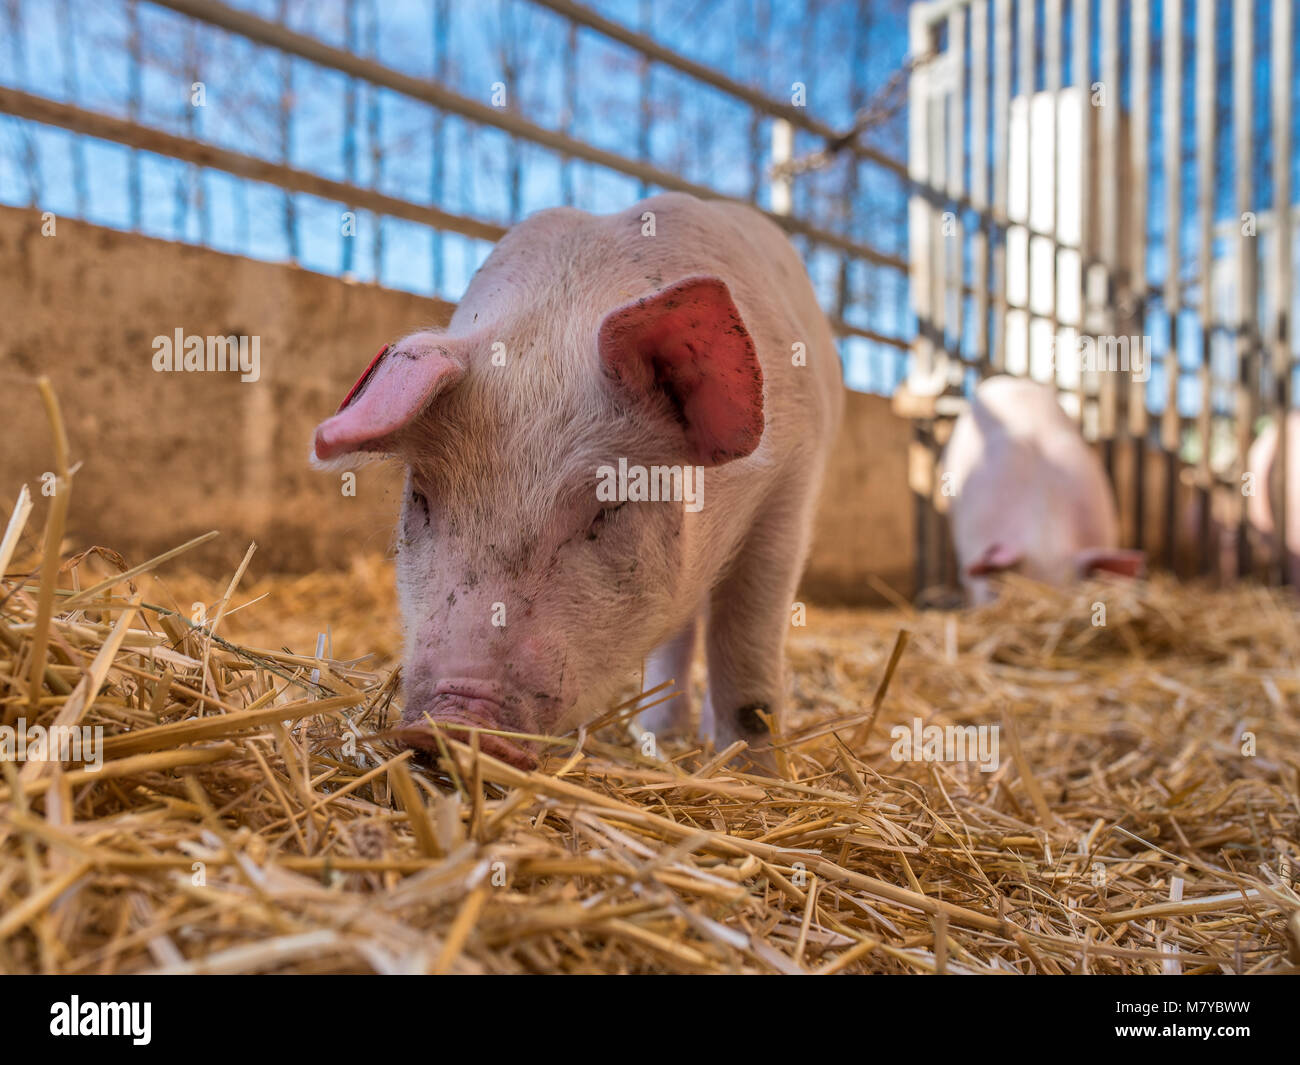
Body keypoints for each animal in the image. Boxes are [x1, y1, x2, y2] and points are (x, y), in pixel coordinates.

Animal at [312, 192, 843, 769]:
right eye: (422, 498)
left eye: (608, 508)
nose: (456, 722)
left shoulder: (793, 476)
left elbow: (746, 649)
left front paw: (752, 772)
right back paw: (659, 734)